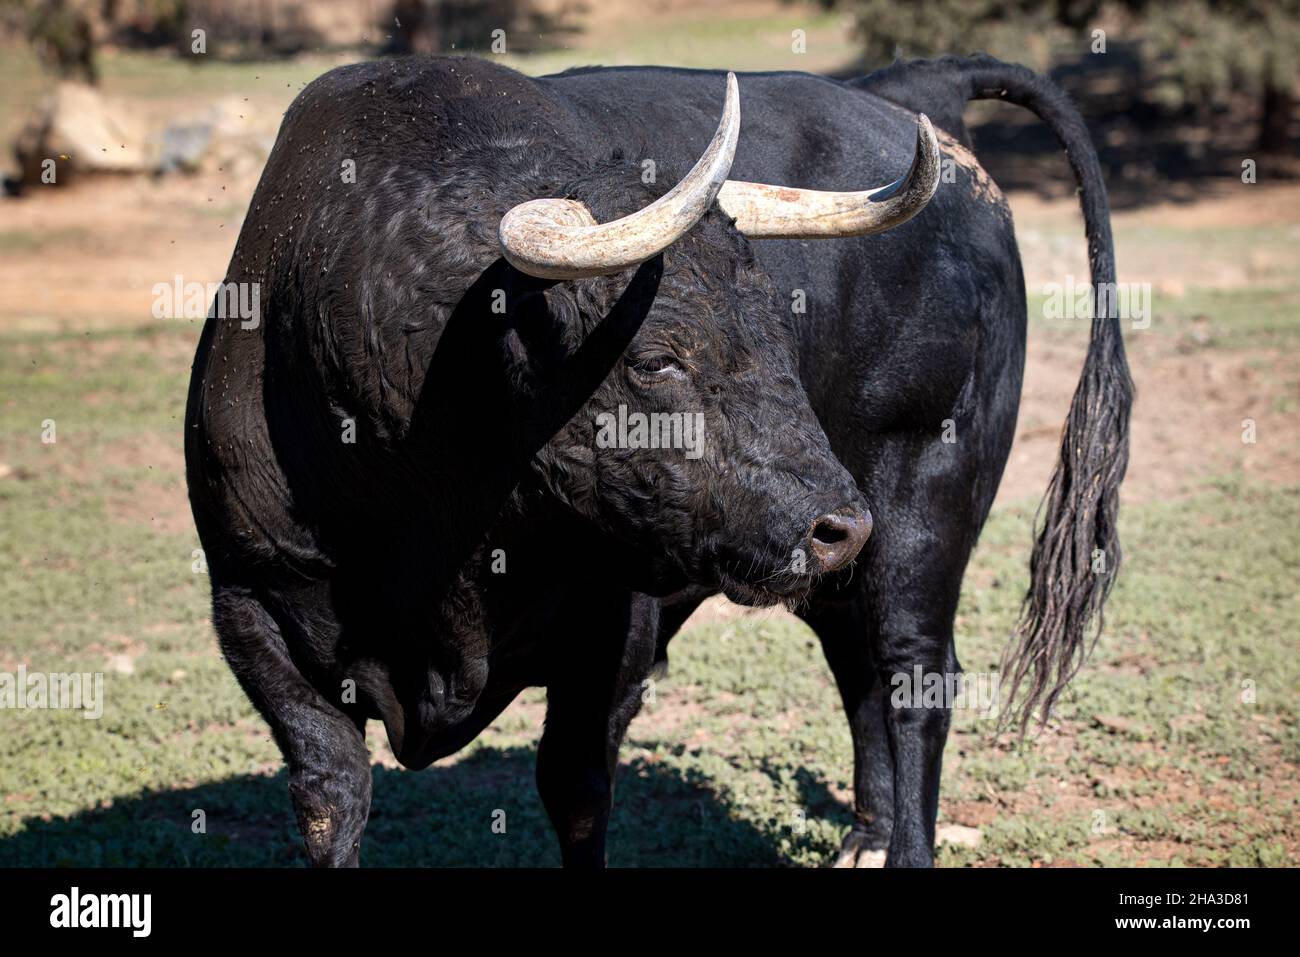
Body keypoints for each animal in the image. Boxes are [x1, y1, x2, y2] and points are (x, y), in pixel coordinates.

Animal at [185, 52, 1131, 867]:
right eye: (655, 359)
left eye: (779, 326)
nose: (837, 523)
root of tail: (907, 92)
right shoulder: (250, 603)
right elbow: (331, 794)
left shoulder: (612, 623)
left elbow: (574, 787)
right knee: (856, 661)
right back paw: (865, 836)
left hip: (921, 506)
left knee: (912, 674)